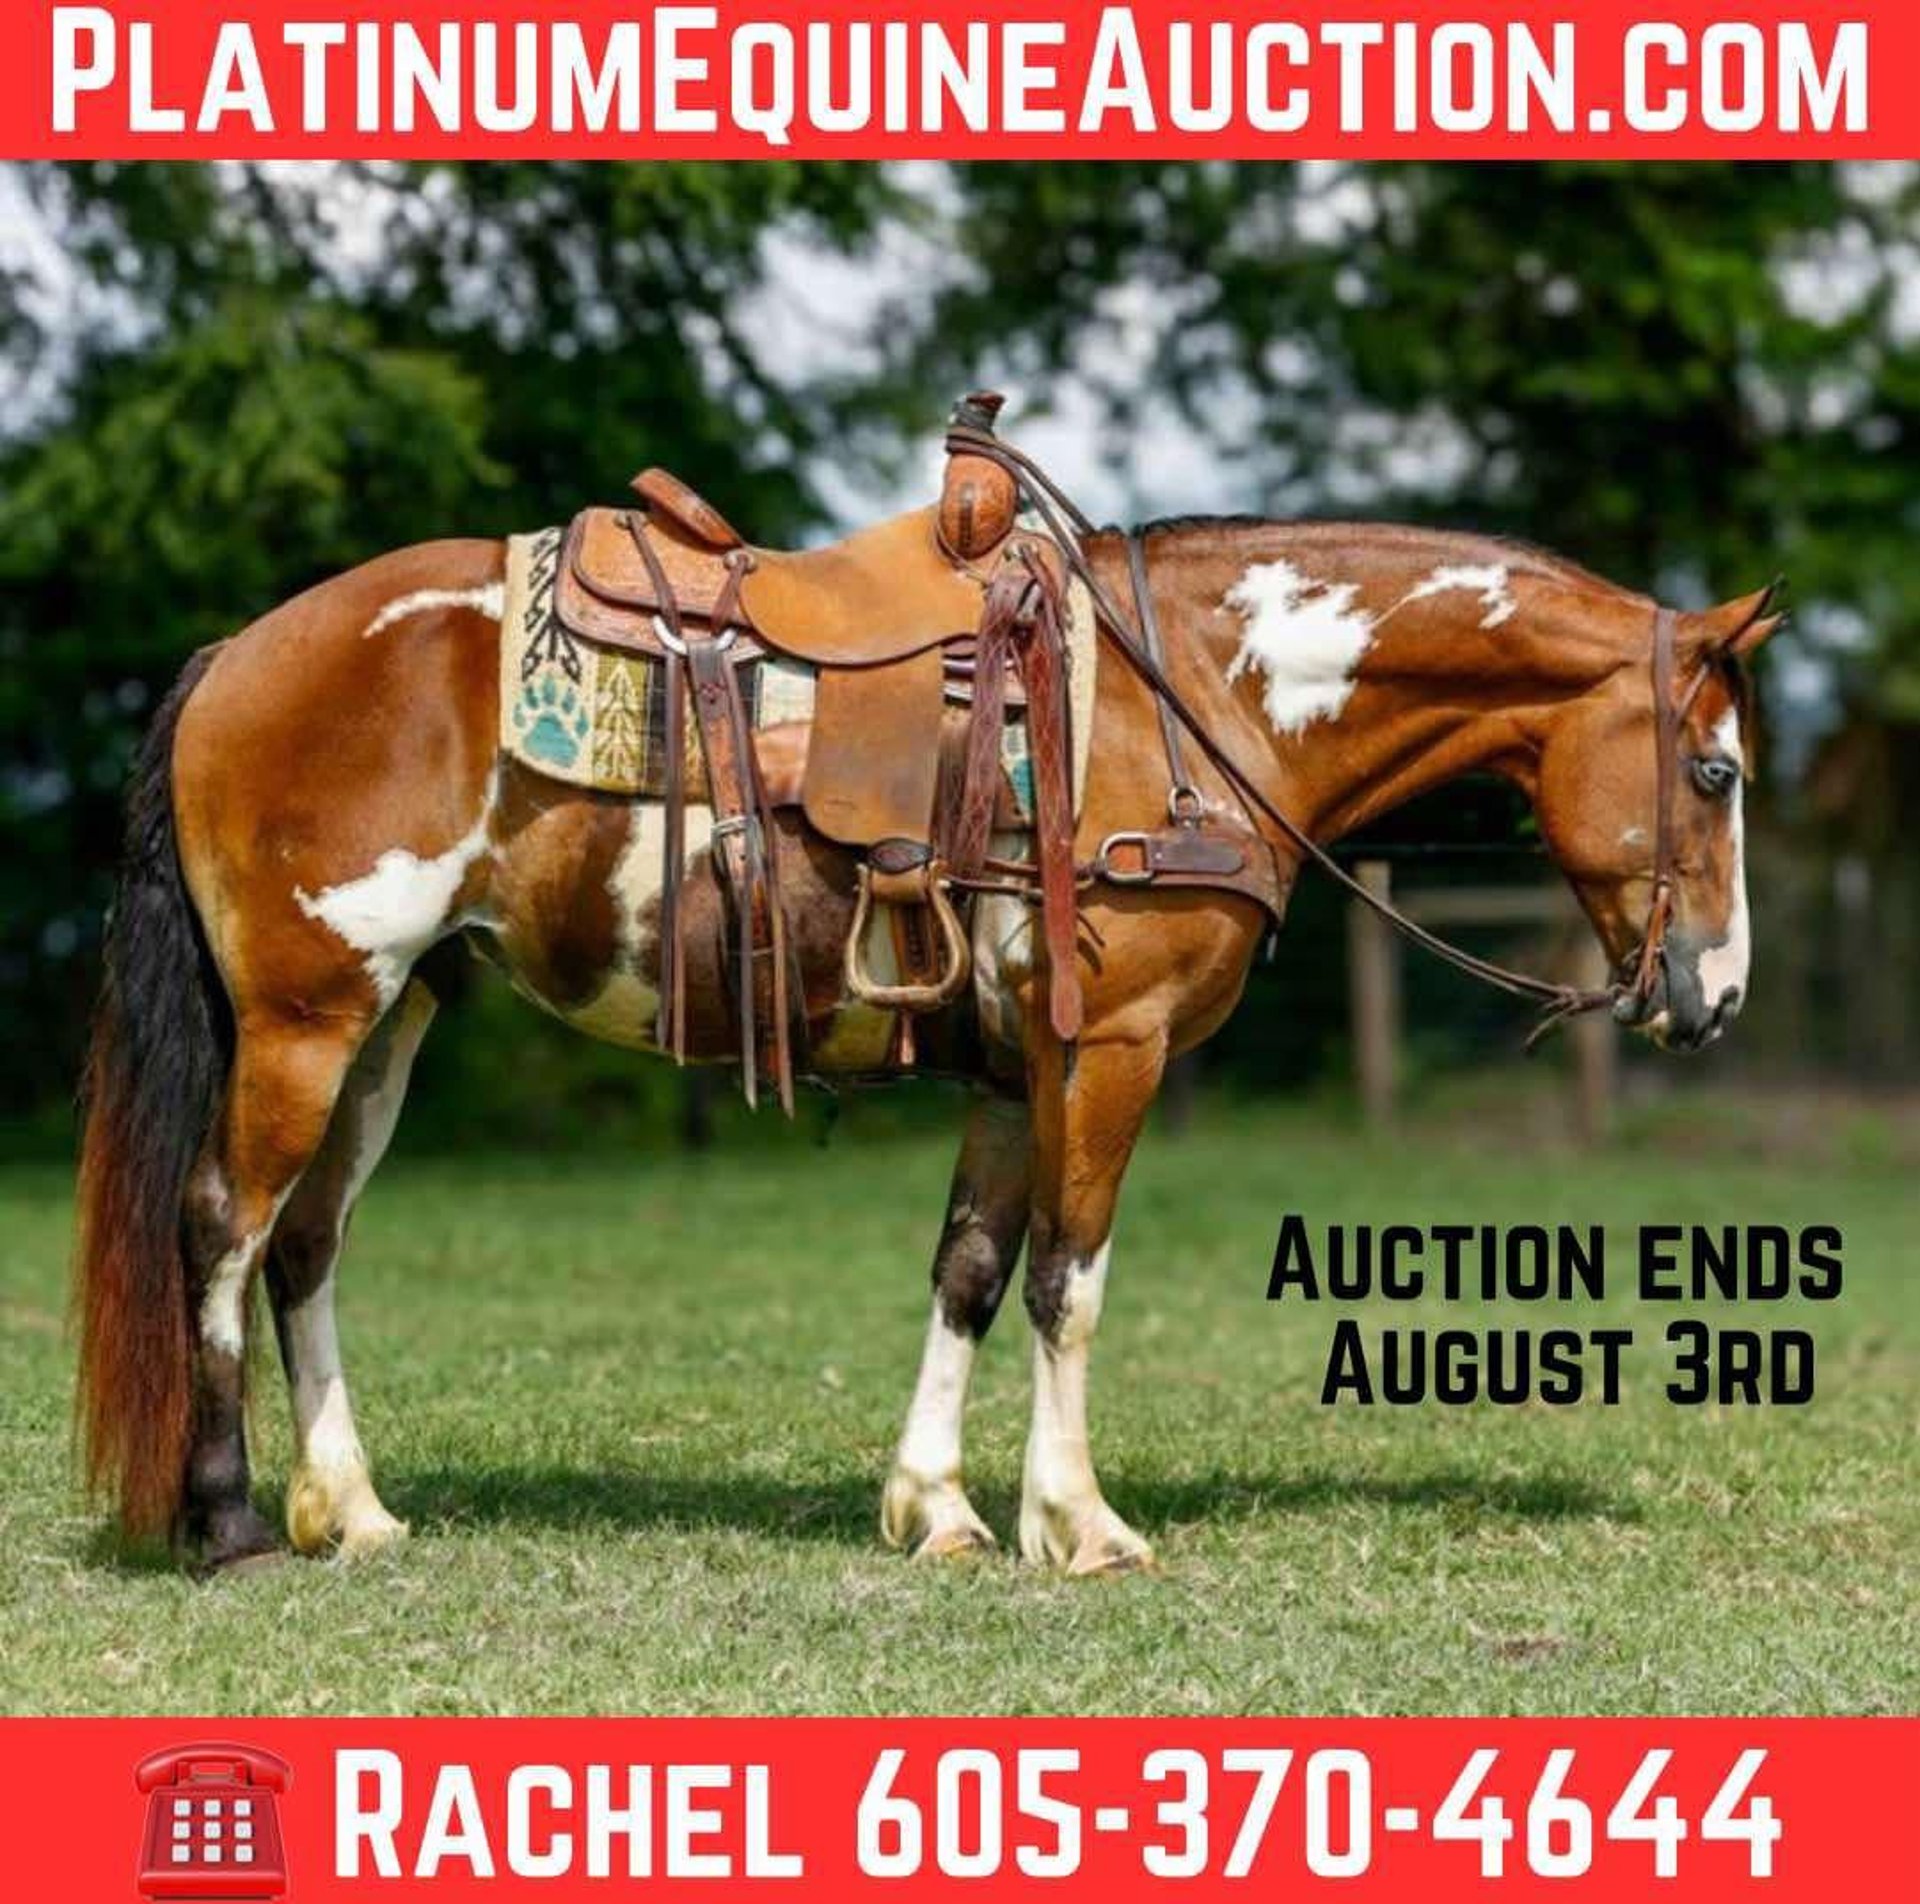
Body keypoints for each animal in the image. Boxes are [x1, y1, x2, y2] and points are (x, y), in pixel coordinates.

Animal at [72, 500, 1779, 1575]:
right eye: (1714, 774)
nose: (1717, 996)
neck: (1188, 702)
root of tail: (232, 655)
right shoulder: (1112, 1049)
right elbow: (1071, 1282)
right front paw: (1079, 1526)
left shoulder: (1018, 1072)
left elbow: (969, 1270)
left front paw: (939, 1509)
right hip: (308, 1017)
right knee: (222, 1227)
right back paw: (228, 1525)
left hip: (393, 1017)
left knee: (306, 1248)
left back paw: (352, 1513)